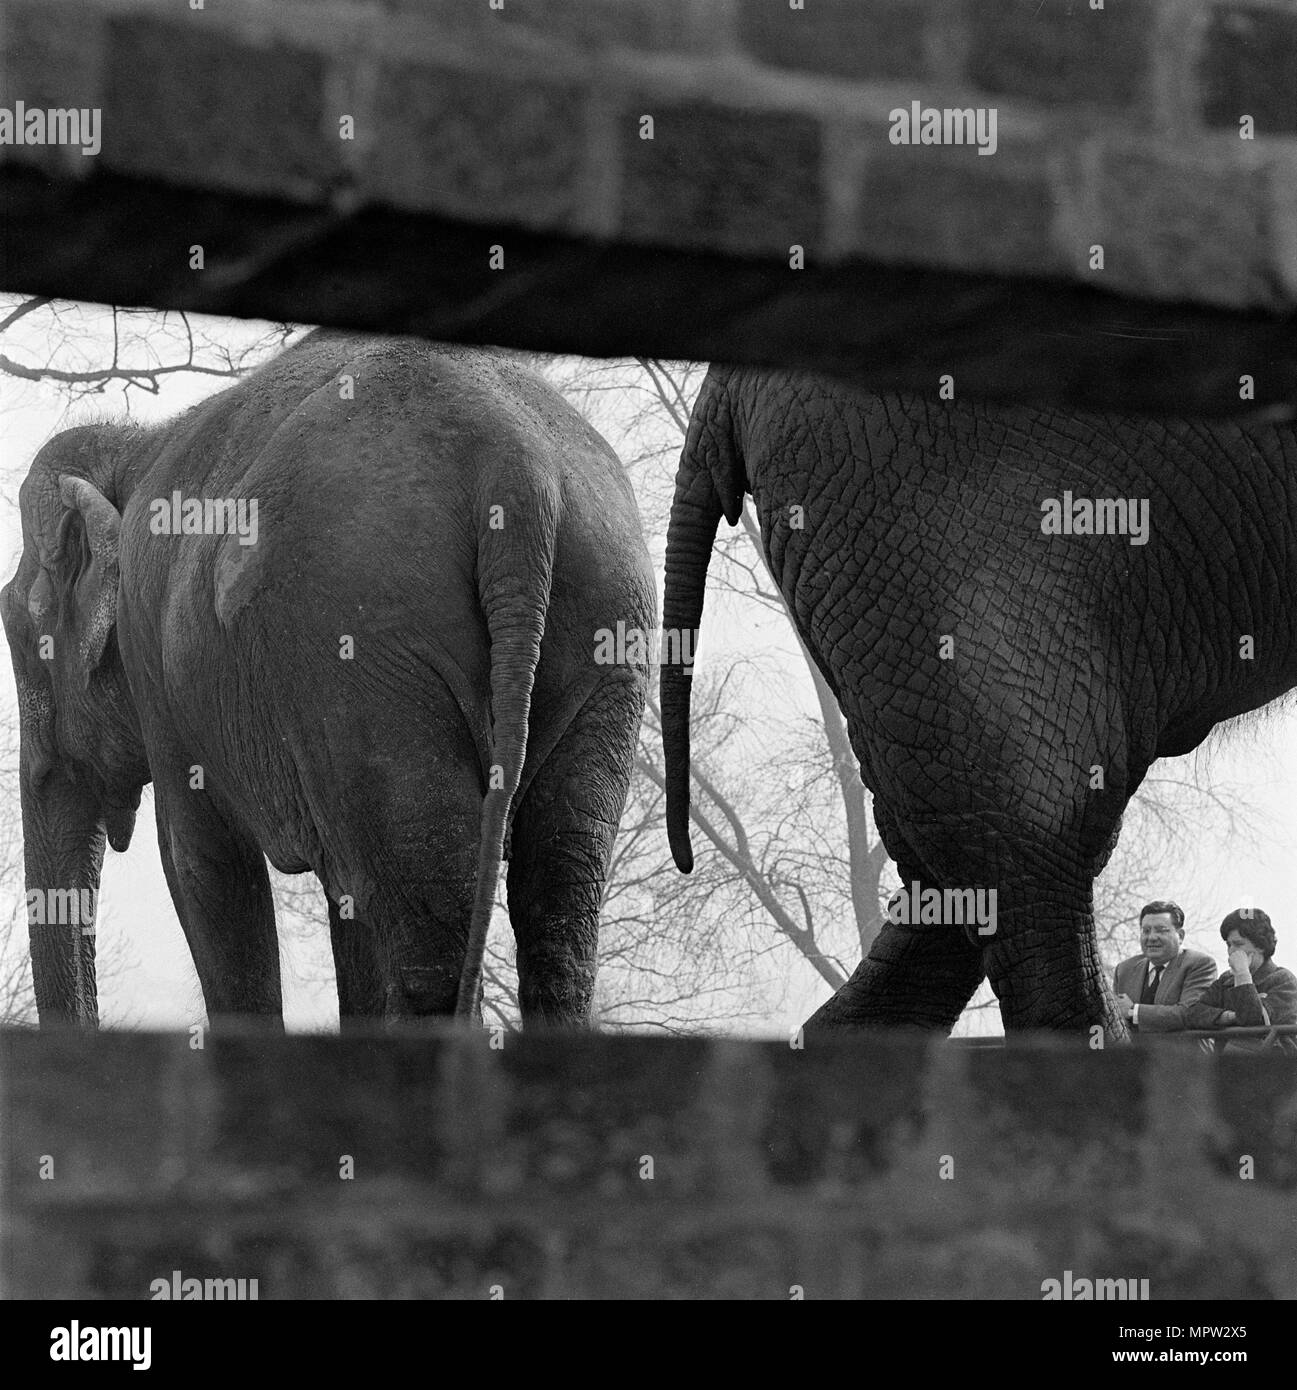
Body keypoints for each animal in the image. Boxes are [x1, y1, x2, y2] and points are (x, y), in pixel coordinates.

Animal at [4, 329, 655, 1030]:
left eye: (22, 635)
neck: (132, 447)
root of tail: (518, 465)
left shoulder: (157, 666)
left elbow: (200, 864)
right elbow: (348, 898)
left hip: (363, 639)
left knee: (431, 926)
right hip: (609, 631)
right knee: (559, 896)